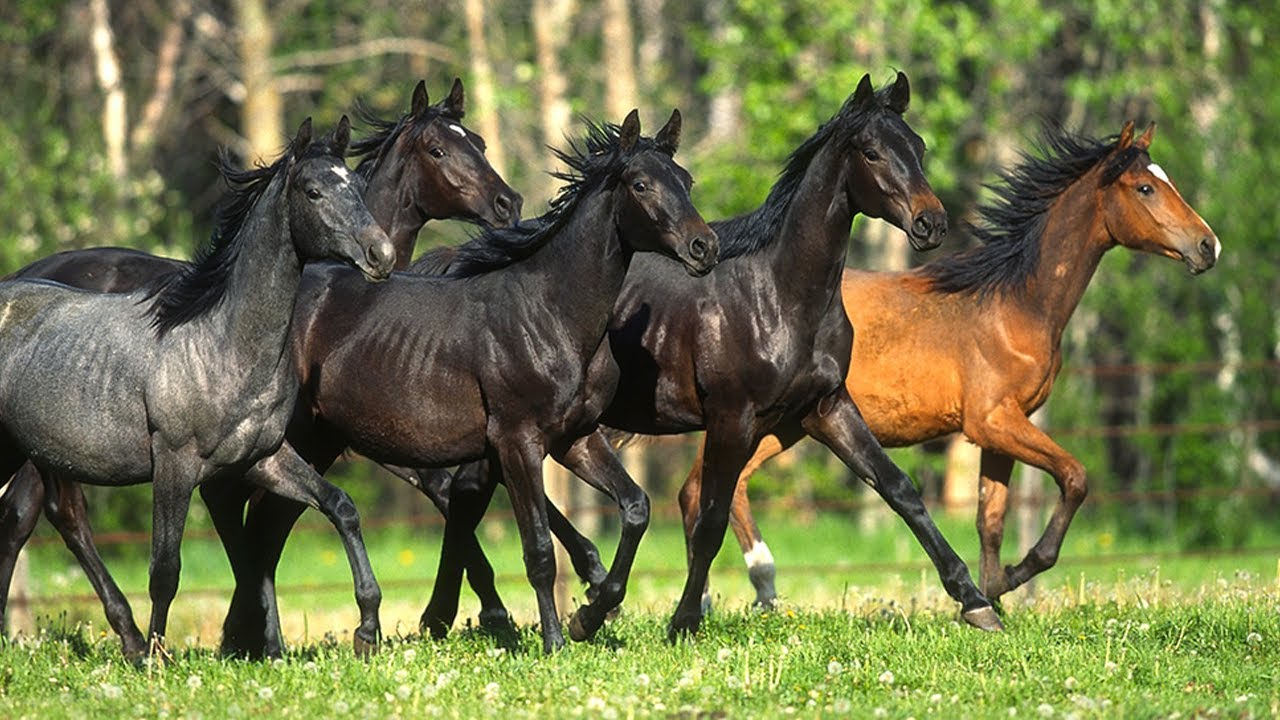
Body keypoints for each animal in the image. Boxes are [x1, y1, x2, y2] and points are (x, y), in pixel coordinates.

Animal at [0, 79, 521, 659]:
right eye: (438, 149)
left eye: (477, 141)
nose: (509, 202)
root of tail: (28, 270)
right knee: (52, 515)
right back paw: (129, 636)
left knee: (26, 517)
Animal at [202, 109, 718, 654]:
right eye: (641, 184)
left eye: (684, 180)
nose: (704, 246)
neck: (551, 314)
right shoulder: (516, 441)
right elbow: (538, 550)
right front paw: (554, 640)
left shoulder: (575, 439)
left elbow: (636, 508)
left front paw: (591, 614)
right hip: (290, 439)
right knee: (252, 519)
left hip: (319, 440)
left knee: (269, 527)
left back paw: (274, 645)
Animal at [420, 71, 1005, 640]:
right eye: (872, 152)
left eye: (917, 146)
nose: (931, 224)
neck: (780, 296)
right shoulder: (731, 418)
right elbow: (711, 520)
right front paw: (682, 622)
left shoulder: (827, 408)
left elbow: (899, 489)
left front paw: (977, 603)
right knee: (466, 494)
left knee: (468, 496)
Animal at [687, 120, 1220, 609]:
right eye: (1146, 187)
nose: (1208, 246)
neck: (1012, 306)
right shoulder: (992, 421)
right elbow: (1074, 477)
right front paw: (1016, 574)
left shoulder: (1003, 429)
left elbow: (991, 519)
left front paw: (992, 593)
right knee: (707, 491)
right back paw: (747, 591)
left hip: (789, 425)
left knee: (704, 492)